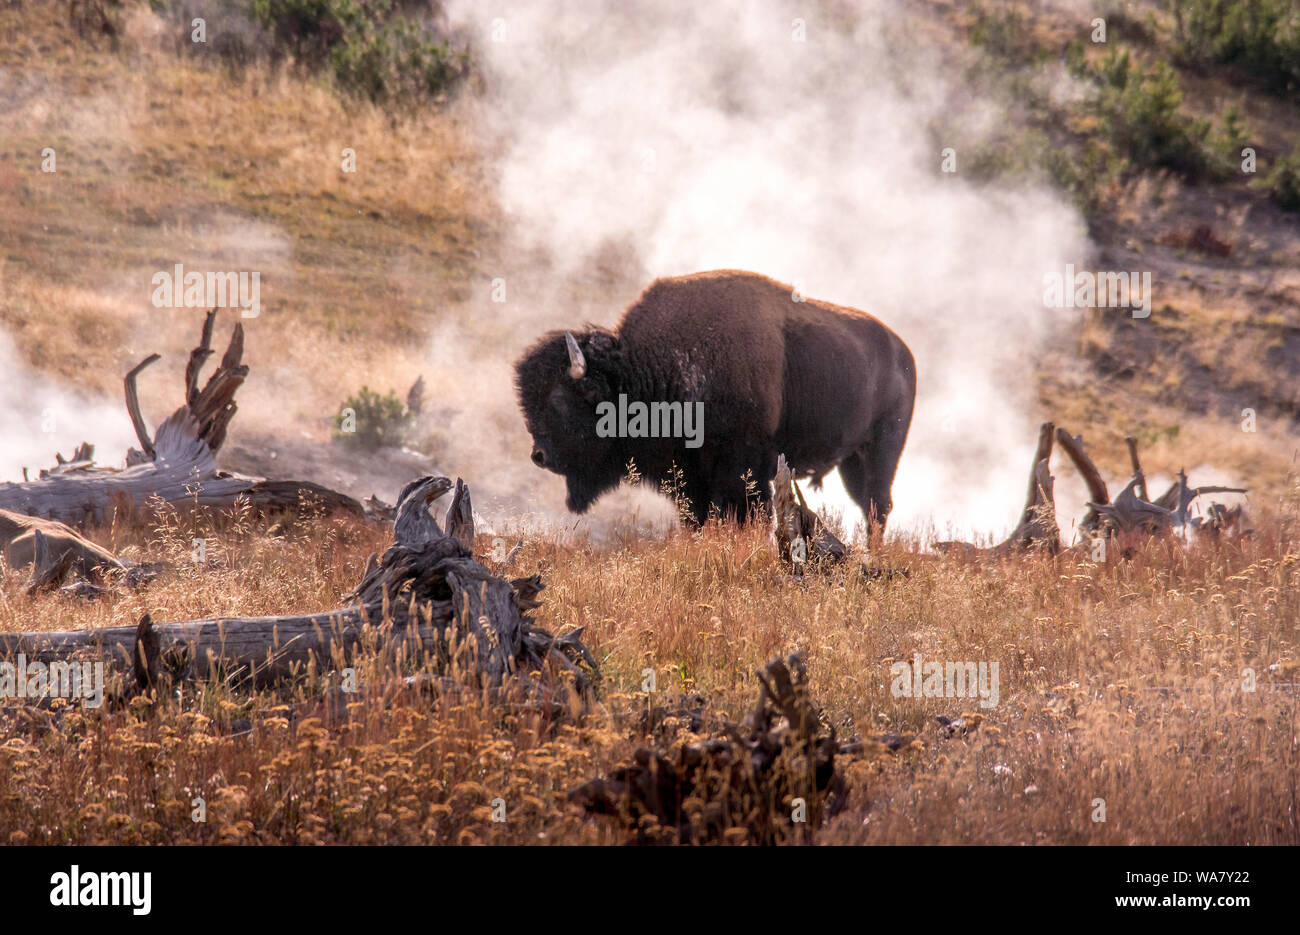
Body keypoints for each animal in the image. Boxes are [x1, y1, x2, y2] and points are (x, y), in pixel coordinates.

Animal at [515, 270, 916, 529]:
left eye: (559, 401)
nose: (539, 456)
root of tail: (902, 351)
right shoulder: (690, 479)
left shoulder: (744, 469)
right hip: (851, 461)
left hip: (882, 451)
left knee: (877, 507)